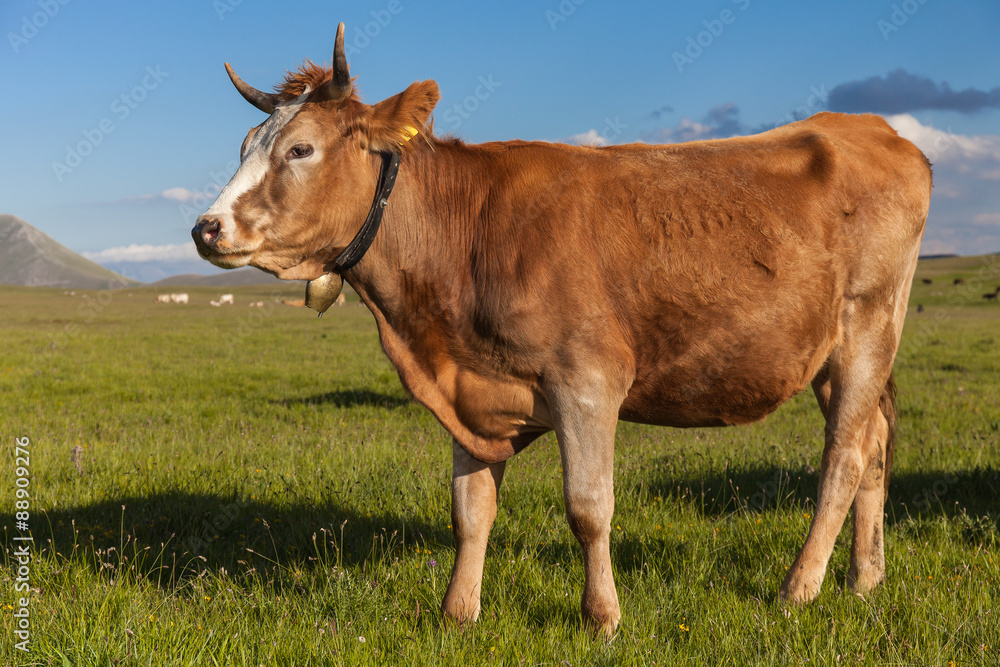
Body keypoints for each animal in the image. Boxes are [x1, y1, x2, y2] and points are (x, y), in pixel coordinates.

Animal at [191, 24, 931, 637]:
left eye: (301, 148)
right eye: (245, 146)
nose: (206, 228)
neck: (470, 236)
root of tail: (873, 129)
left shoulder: (587, 382)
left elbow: (588, 507)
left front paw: (601, 616)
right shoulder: (473, 390)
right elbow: (471, 510)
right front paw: (458, 612)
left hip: (868, 325)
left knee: (844, 456)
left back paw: (798, 588)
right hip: (833, 351)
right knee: (874, 441)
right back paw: (865, 579)